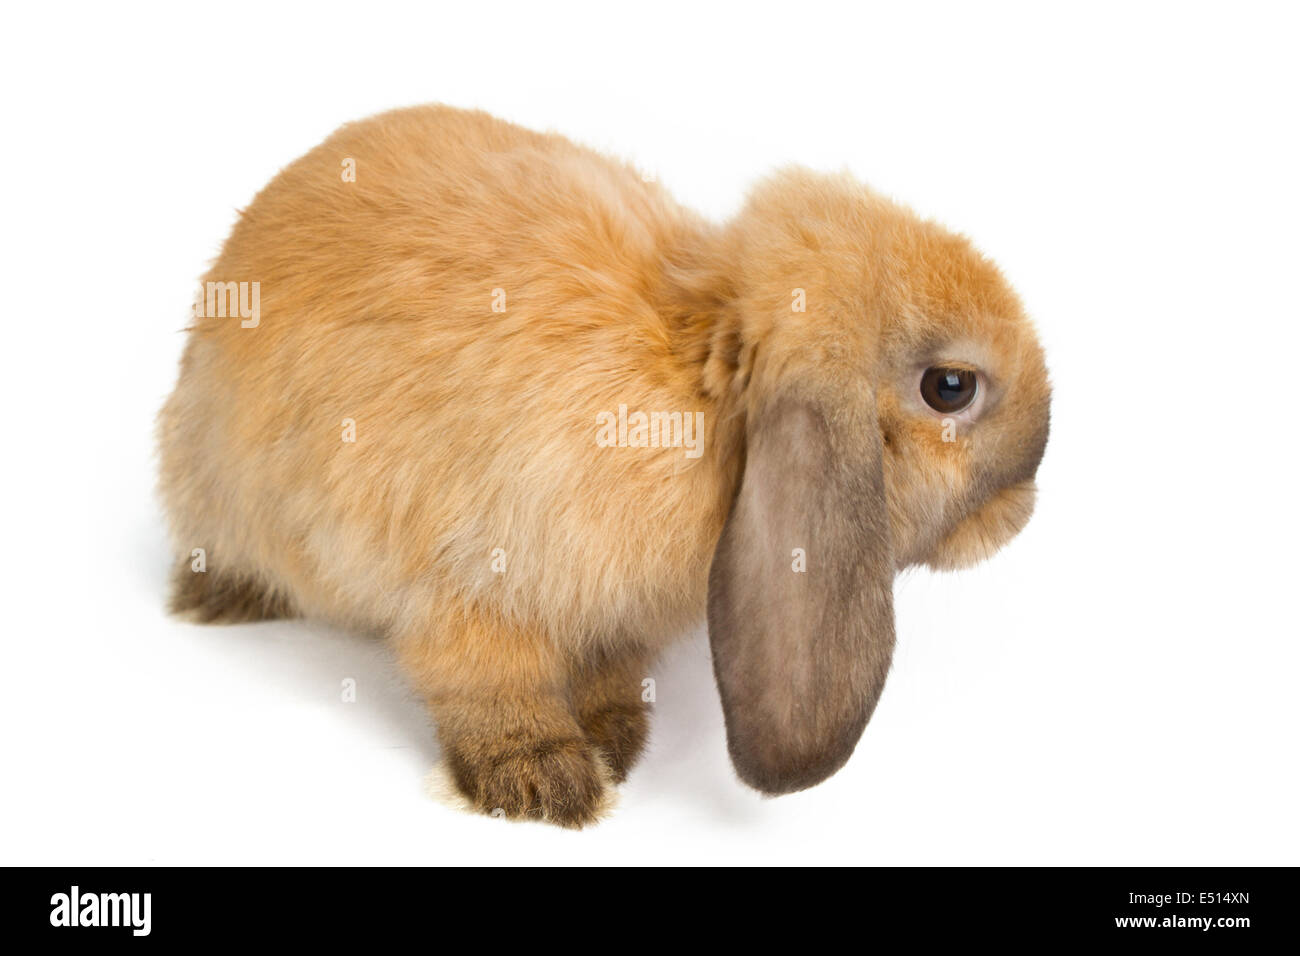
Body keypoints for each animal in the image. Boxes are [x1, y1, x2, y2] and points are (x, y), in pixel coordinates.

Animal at [158, 104, 1051, 827]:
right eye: (950, 388)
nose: (1024, 505)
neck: (698, 376)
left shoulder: (614, 621)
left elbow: (608, 670)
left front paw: (616, 738)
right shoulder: (471, 586)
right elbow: (488, 684)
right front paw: (543, 785)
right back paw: (217, 598)